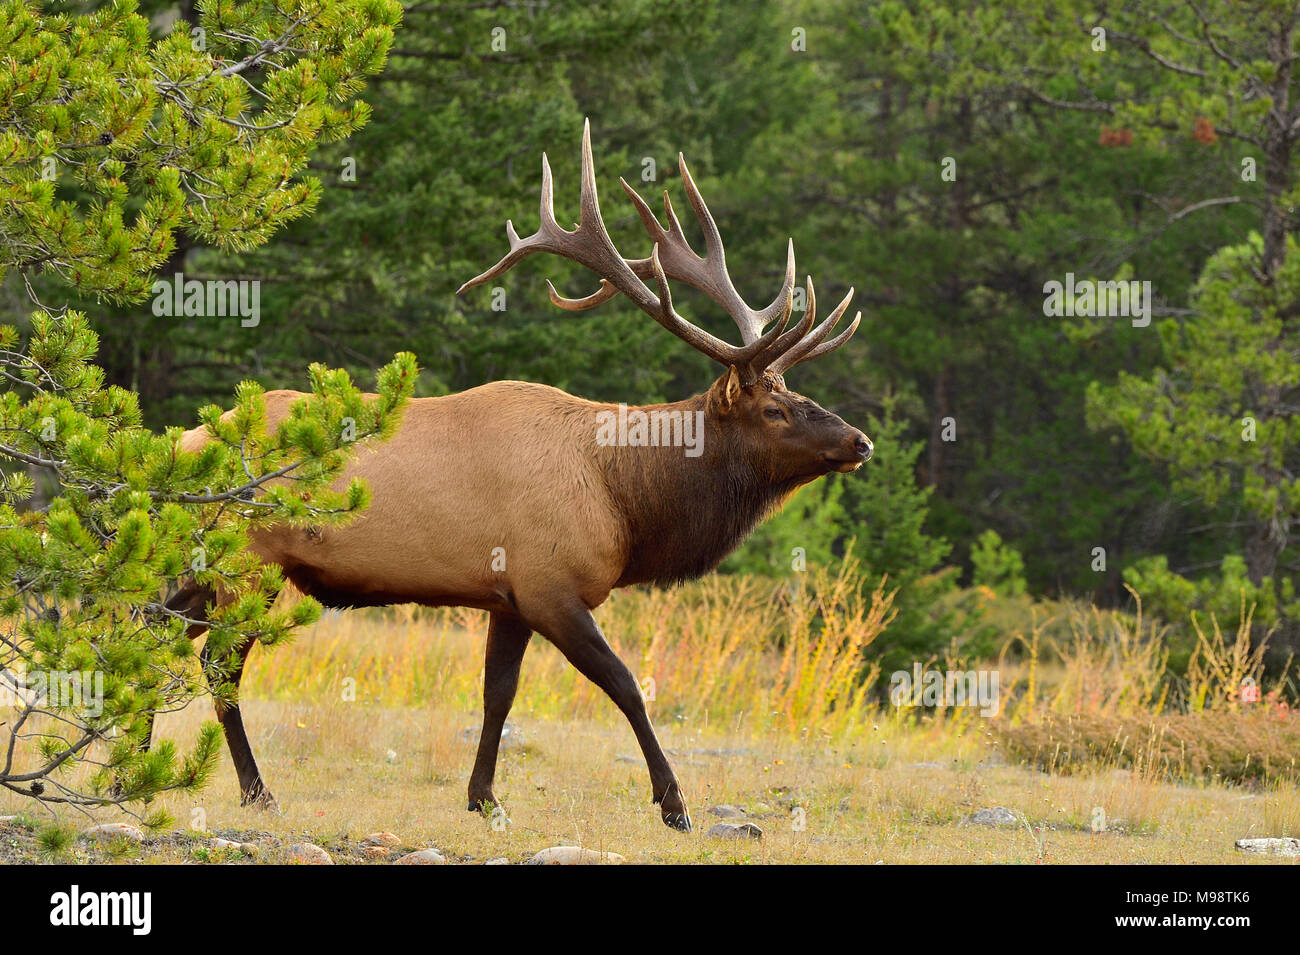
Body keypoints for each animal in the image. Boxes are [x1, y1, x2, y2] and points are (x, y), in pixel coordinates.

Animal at [158, 121, 871, 832]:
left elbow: (497, 695)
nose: (859, 441)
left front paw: (483, 797)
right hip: (250, 565)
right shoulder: (552, 585)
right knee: (216, 662)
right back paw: (256, 790)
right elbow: (627, 687)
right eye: (774, 410)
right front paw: (674, 804)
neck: (622, 497)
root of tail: (185, 439)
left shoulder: (509, 598)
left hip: (198, 567)